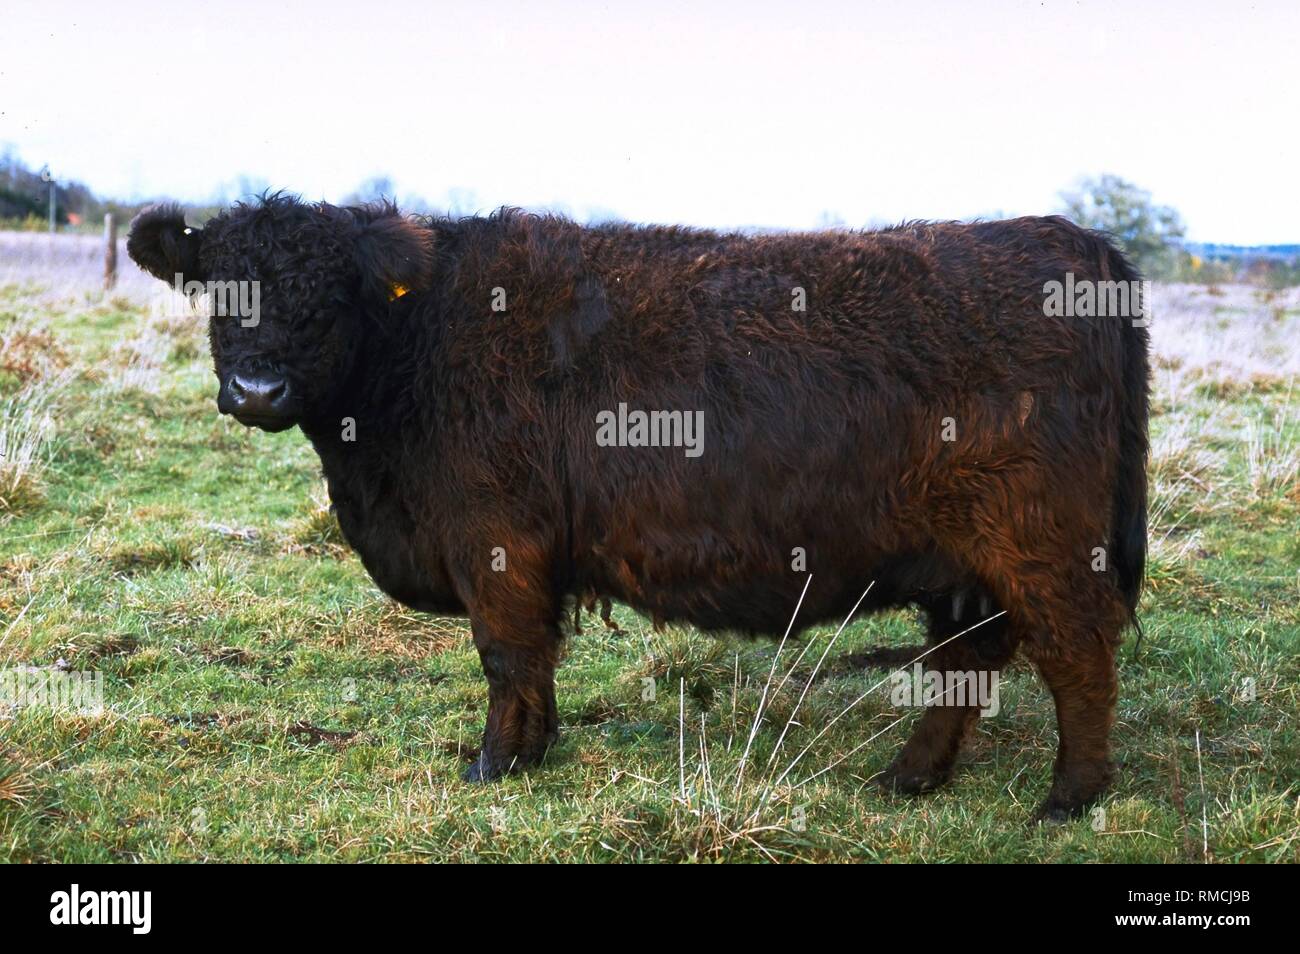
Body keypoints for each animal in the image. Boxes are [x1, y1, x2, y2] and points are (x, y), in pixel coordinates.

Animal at [128, 195, 1149, 821]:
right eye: (220, 289)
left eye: (329, 295)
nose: (257, 389)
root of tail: (1069, 241)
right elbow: (533, 658)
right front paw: (533, 750)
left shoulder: (495, 540)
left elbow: (506, 653)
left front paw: (492, 764)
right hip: (963, 564)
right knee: (962, 664)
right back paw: (907, 778)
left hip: (1043, 546)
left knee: (1078, 655)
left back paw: (1070, 797)